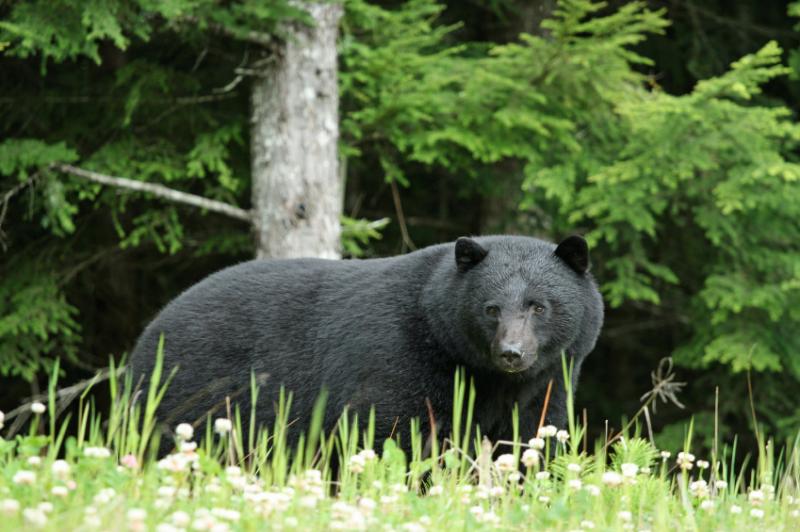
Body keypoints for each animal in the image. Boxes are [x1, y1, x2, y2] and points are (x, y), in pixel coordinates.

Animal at [129, 235, 603, 454]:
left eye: (538, 306)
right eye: (490, 308)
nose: (512, 353)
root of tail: (152, 327)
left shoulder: (547, 381)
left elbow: (531, 436)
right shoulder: (400, 356)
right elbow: (388, 431)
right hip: (190, 391)